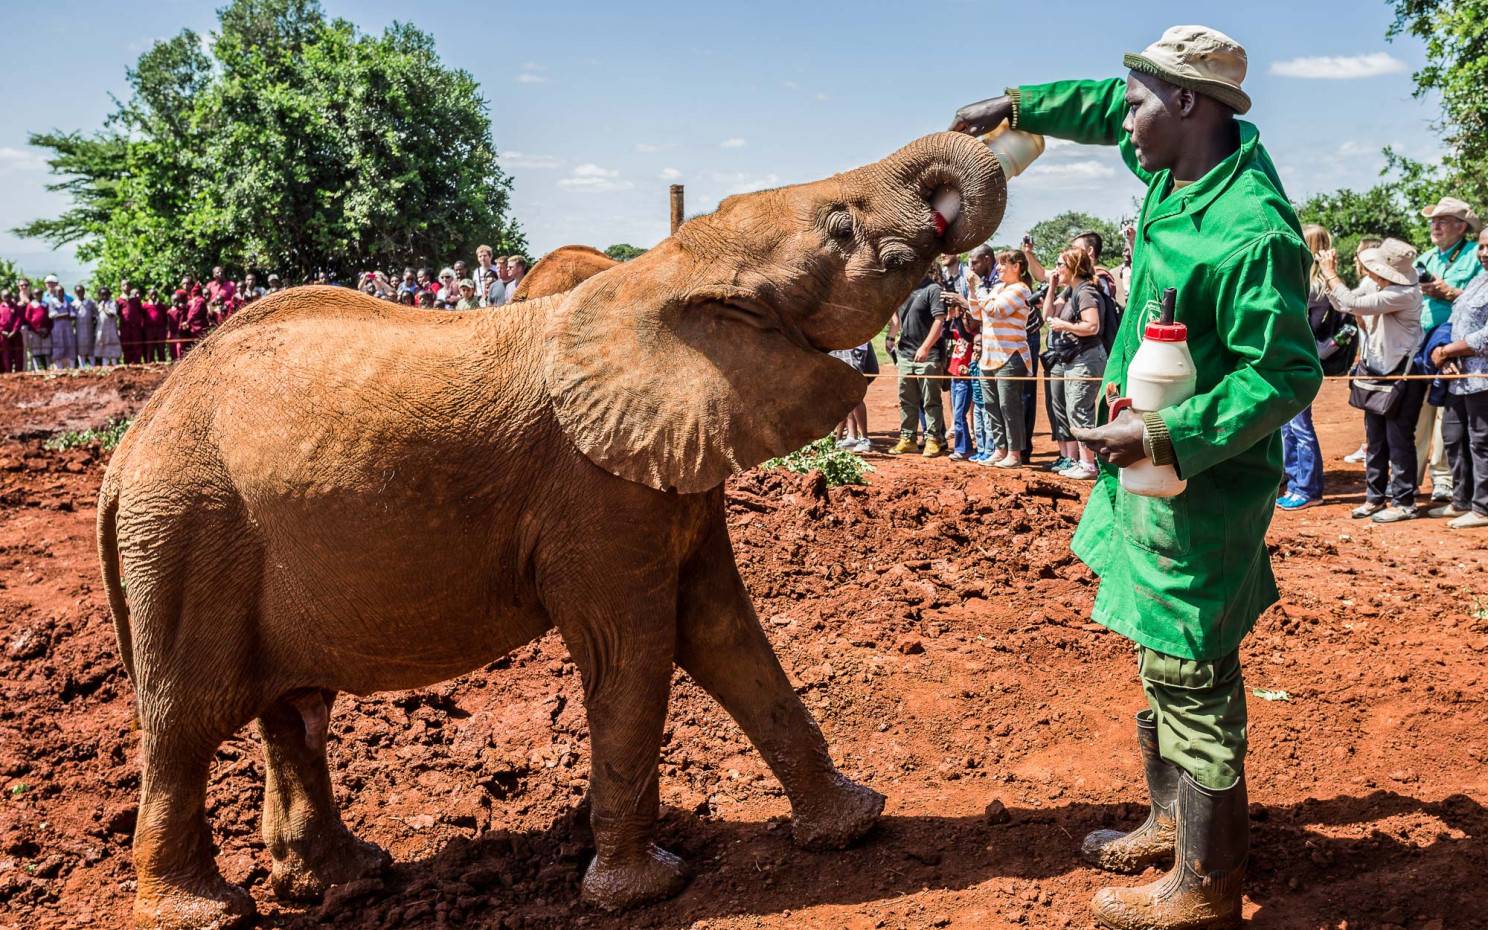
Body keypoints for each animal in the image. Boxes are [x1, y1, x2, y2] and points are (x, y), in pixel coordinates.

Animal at [97, 130, 1005, 929]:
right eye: (842, 227)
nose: (944, 211)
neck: (663, 271)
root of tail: (131, 441)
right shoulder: (595, 494)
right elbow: (635, 652)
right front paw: (646, 890)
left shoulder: (669, 474)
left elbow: (724, 633)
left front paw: (855, 826)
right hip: (186, 536)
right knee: (184, 726)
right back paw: (206, 912)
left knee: (292, 712)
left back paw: (348, 879)